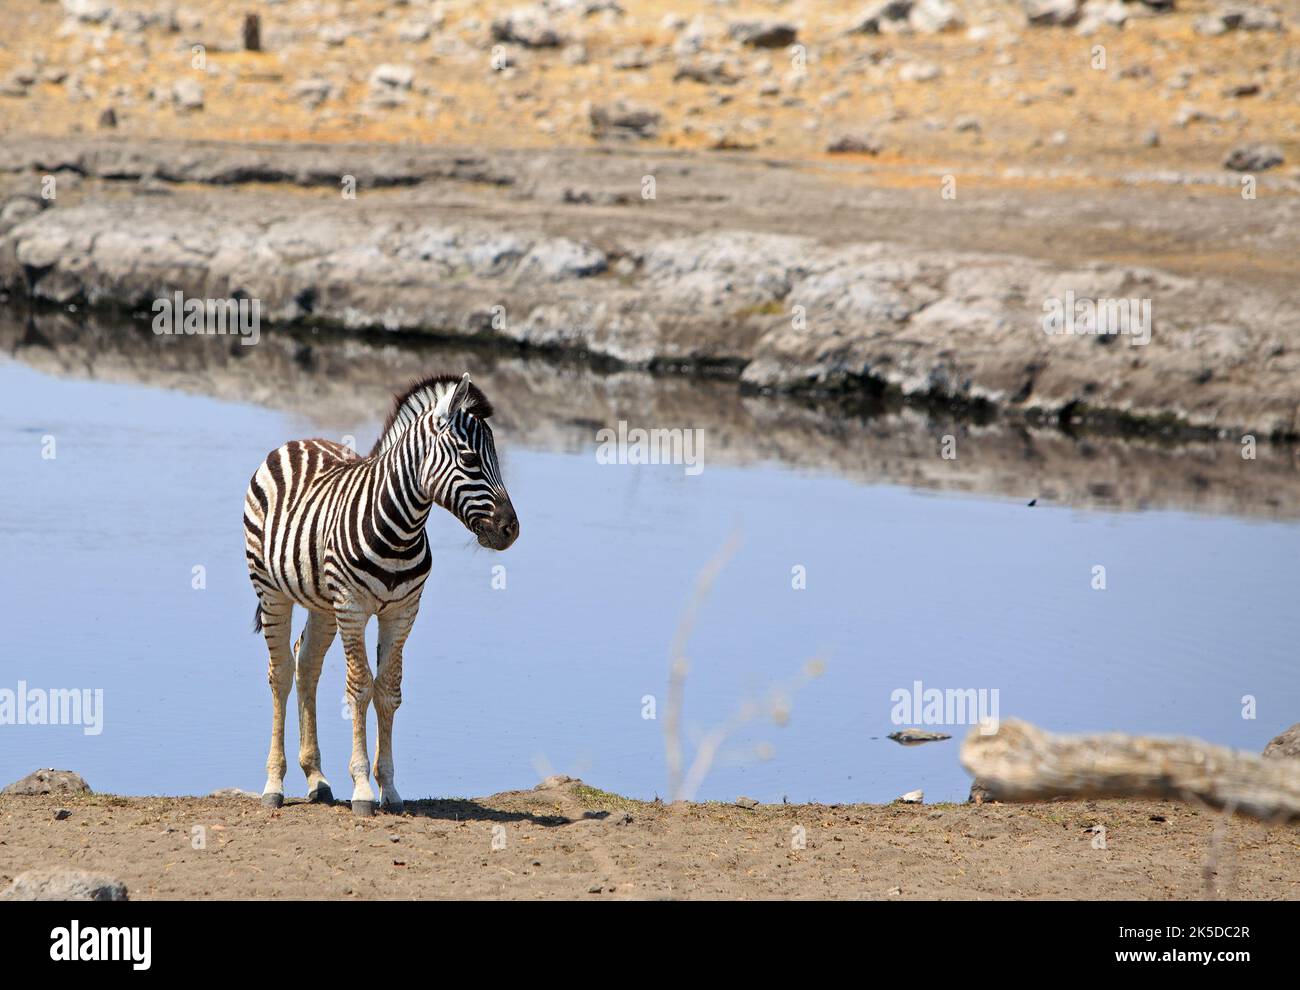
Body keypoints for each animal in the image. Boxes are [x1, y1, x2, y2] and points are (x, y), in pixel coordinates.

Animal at [243, 372, 518, 816]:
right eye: (469, 459)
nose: (511, 530)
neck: (399, 529)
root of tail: (299, 441)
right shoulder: (353, 608)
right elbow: (359, 689)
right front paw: (362, 790)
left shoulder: (402, 611)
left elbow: (388, 691)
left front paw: (389, 788)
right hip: (271, 591)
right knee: (281, 673)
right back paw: (274, 784)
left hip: (323, 604)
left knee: (307, 665)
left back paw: (316, 777)